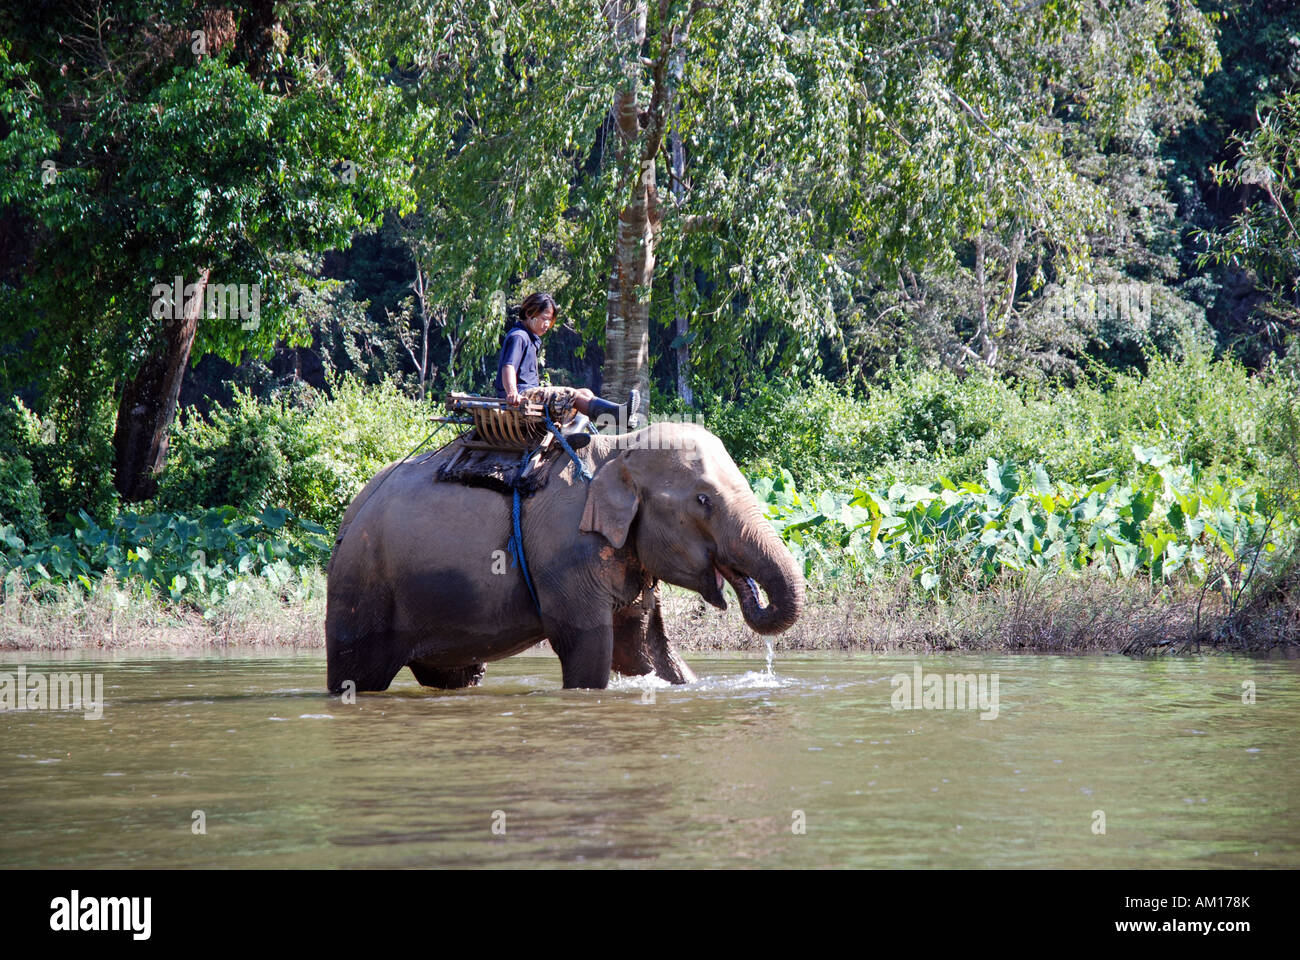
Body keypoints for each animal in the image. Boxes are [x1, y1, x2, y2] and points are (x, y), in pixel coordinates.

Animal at [325, 420, 805, 692]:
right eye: (704, 501)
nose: (743, 585)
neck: (618, 449)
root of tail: (349, 515)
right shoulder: (566, 556)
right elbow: (589, 646)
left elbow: (644, 650)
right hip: (362, 586)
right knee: (358, 674)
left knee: (454, 676)